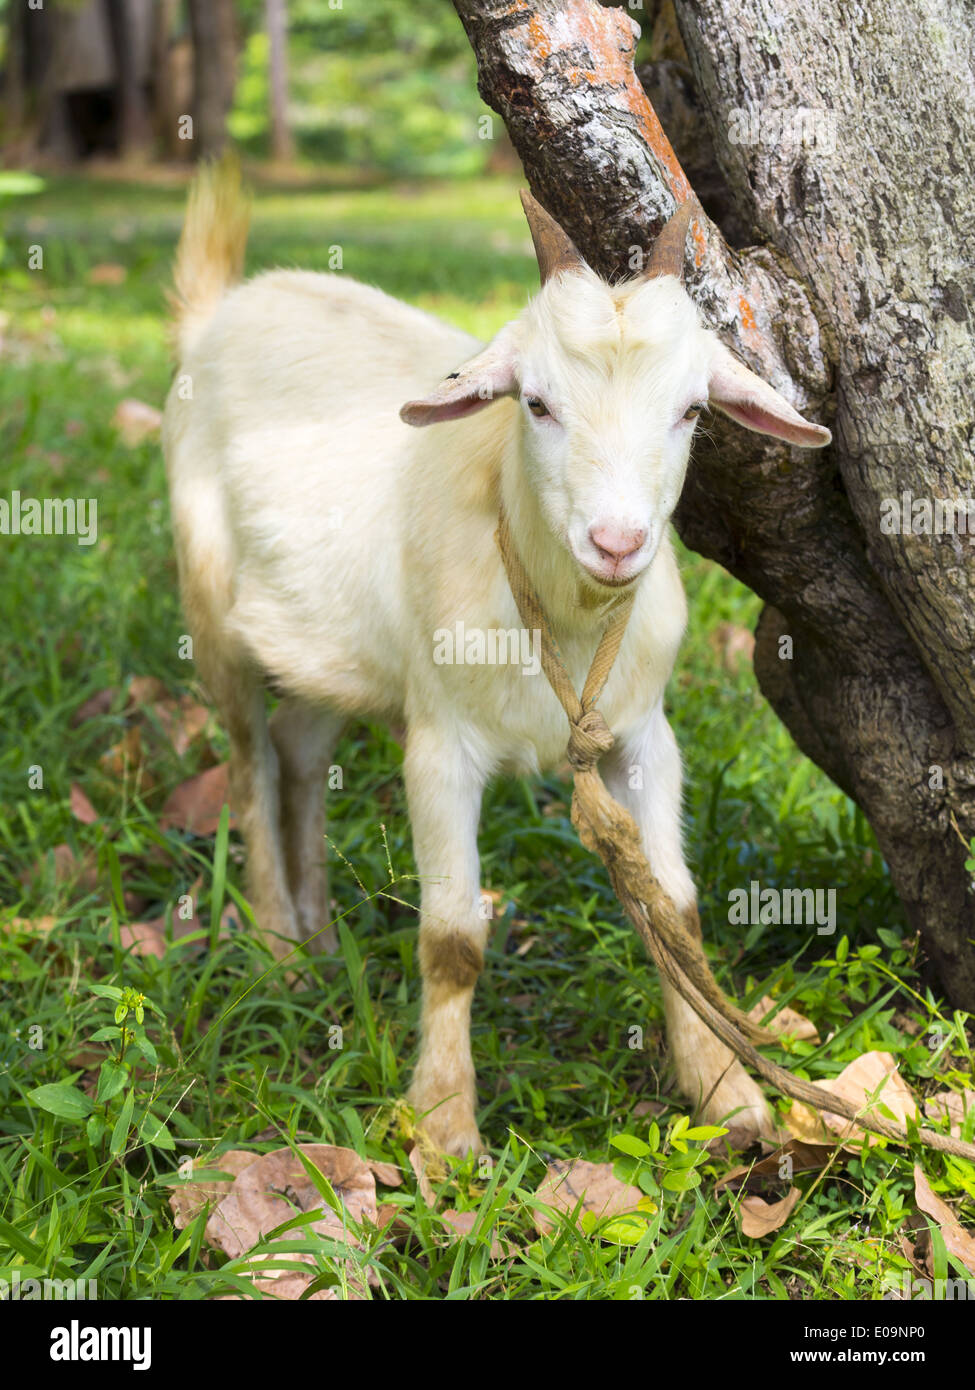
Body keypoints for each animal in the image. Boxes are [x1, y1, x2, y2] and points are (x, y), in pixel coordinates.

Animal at [163, 163, 831, 1155]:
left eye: (690, 411)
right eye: (537, 403)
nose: (617, 542)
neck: (563, 620)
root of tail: (222, 310)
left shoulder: (644, 733)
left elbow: (674, 909)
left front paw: (726, 1096)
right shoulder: (441, 745)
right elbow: (451, 939)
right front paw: (443, 1129)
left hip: (331, 640)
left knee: (298, 748)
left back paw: (317, 937)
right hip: (209, 599)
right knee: (248, 760)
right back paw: (277, 946)